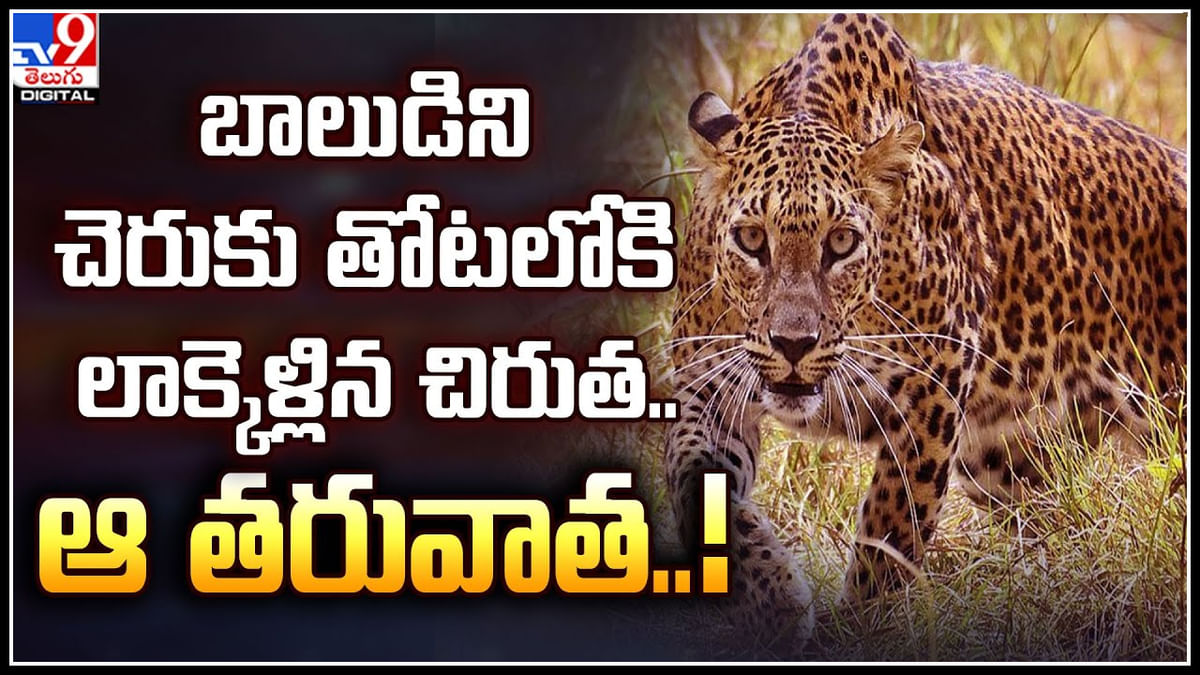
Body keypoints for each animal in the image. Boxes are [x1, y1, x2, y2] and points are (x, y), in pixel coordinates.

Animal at [664, 12, 1186, 648]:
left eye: (842, 242)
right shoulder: (708, 389)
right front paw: (777, 601)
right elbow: (696, 483)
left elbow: (891, 533)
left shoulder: (932, 388)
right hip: (1006, 463)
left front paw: (859, 633)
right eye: (750, 239)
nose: (794, 345)